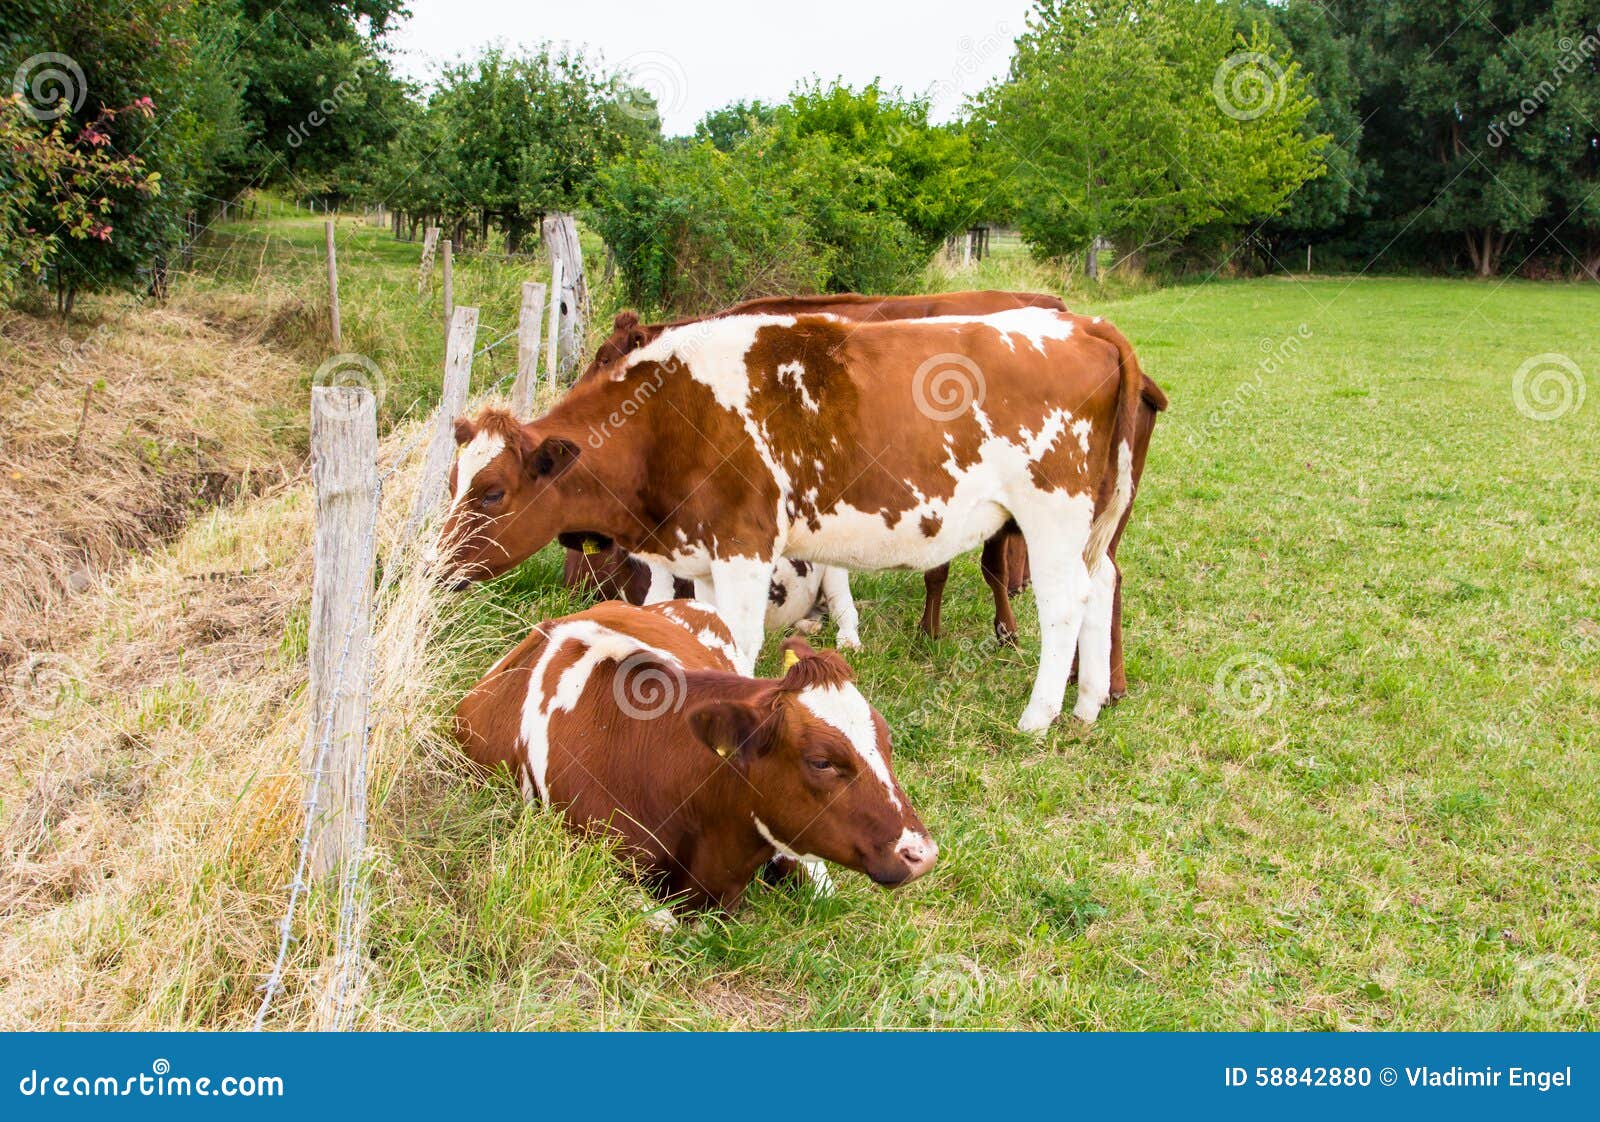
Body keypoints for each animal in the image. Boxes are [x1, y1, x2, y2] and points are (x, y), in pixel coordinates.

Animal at [440, 303, 1151, 731]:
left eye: (492, 492)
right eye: (451, 481)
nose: (434, 568)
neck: (667, 417)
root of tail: (1083, 323)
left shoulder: (745, 544)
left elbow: (741, 639)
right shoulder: (702, 554)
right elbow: (708, 635)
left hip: (1050, 513)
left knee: (1065, 602)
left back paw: (1040, 716)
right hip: (1088, 523)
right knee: (1101, 586)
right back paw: (1088, 705)